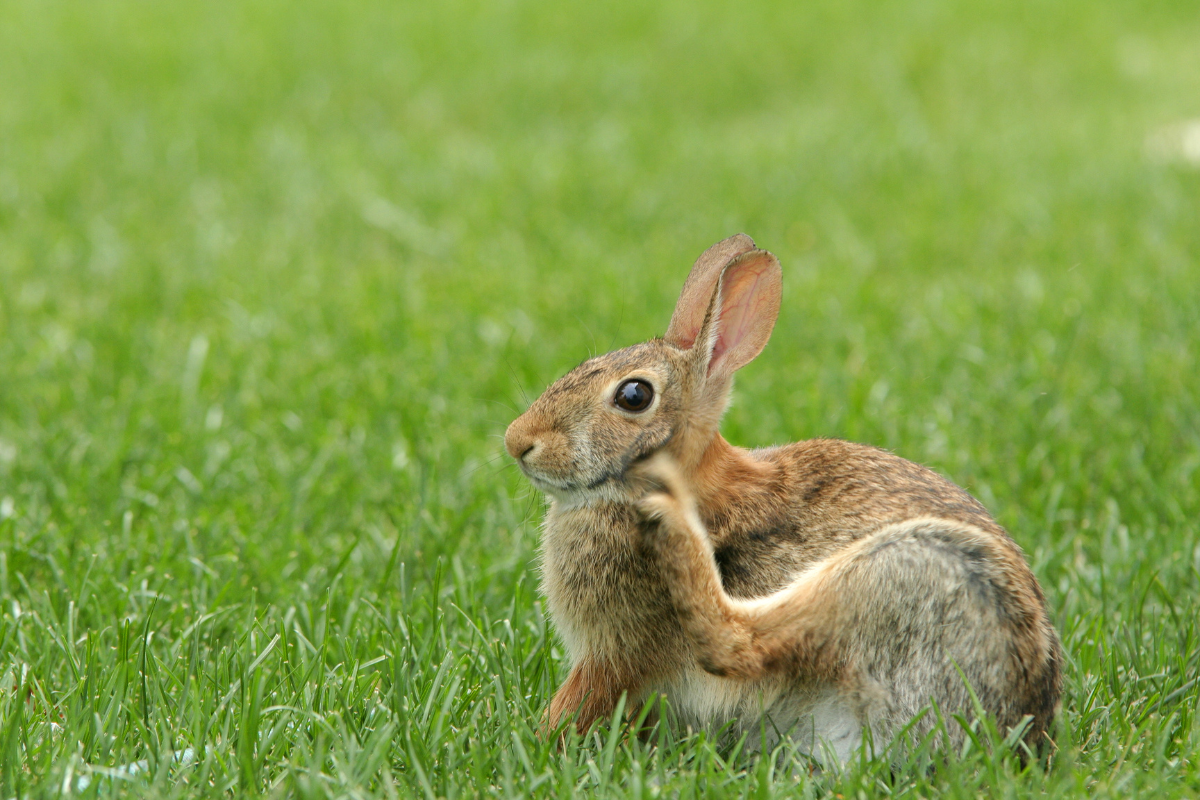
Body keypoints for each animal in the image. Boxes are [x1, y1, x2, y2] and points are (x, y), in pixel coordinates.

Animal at [504, 234, 1062, 764]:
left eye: (634, 396)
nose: (517, 441)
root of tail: (1019, 731)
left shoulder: (616, 651)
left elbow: (586, 695)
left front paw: (541, 737)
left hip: (906, 571)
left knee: (737, 643)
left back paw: (674, 527)